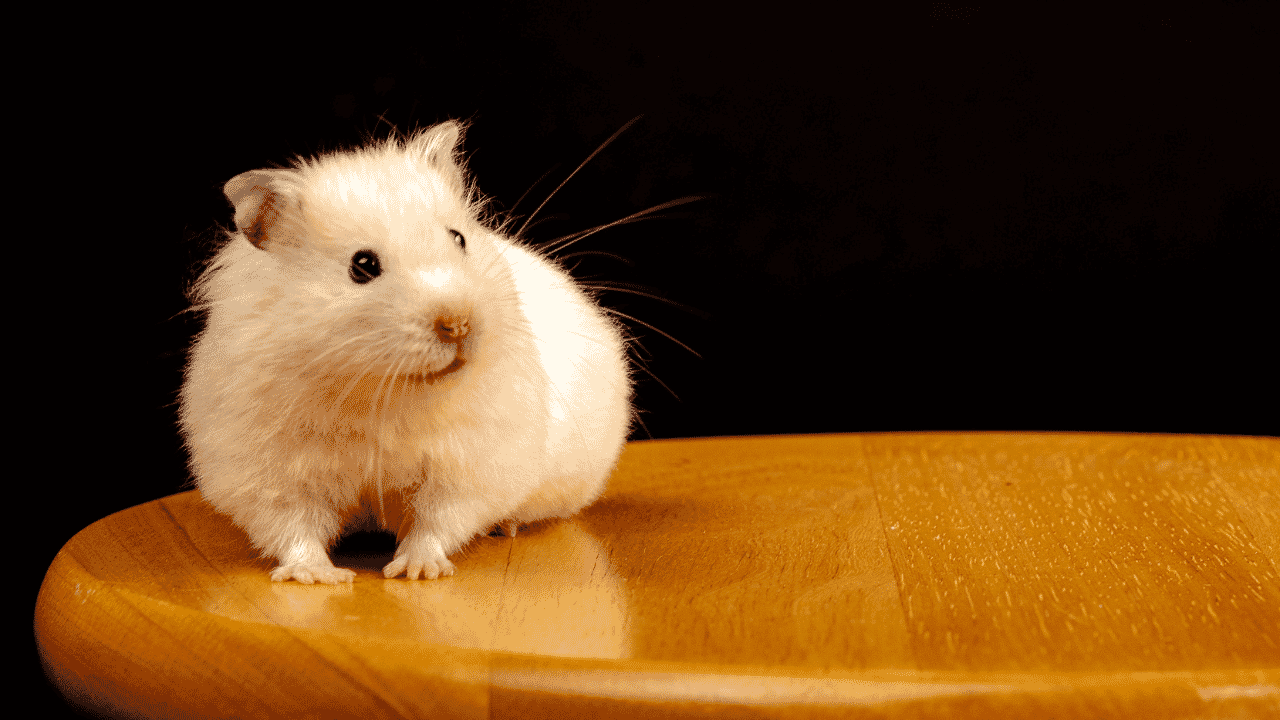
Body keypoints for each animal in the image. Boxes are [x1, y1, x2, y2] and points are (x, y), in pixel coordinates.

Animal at [179, 121, 632, 583]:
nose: (459, 325)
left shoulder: (466, 467)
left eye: (459, 238)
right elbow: (293, 529)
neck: (380, 389)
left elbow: (436, 522)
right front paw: (321, 577)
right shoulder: (269, 473)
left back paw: (505, 526)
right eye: (362, 266)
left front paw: (415, 571)